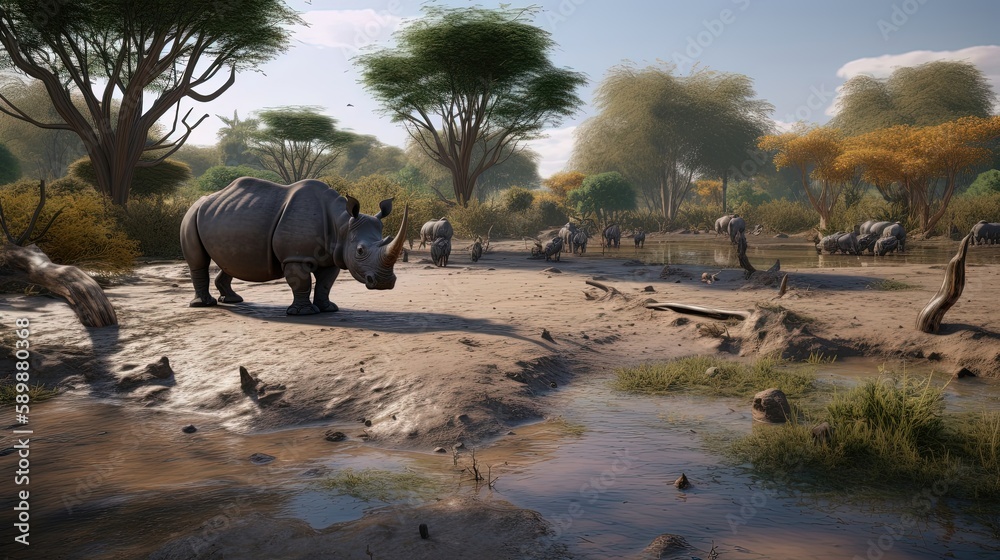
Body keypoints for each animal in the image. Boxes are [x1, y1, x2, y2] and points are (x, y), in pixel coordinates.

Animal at [180, 178, 408, 315]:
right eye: (360, 251)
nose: (385, 283)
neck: (342, 224)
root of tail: (200, 201)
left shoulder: (332, 256)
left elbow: (326, 284)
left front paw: (328, 308)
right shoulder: (295, 257)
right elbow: (302, 283)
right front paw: (304, 313)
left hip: (222, 217)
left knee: (229, 261)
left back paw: (233, 300)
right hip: (191, 215)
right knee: (199, 261)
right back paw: (204, 305)